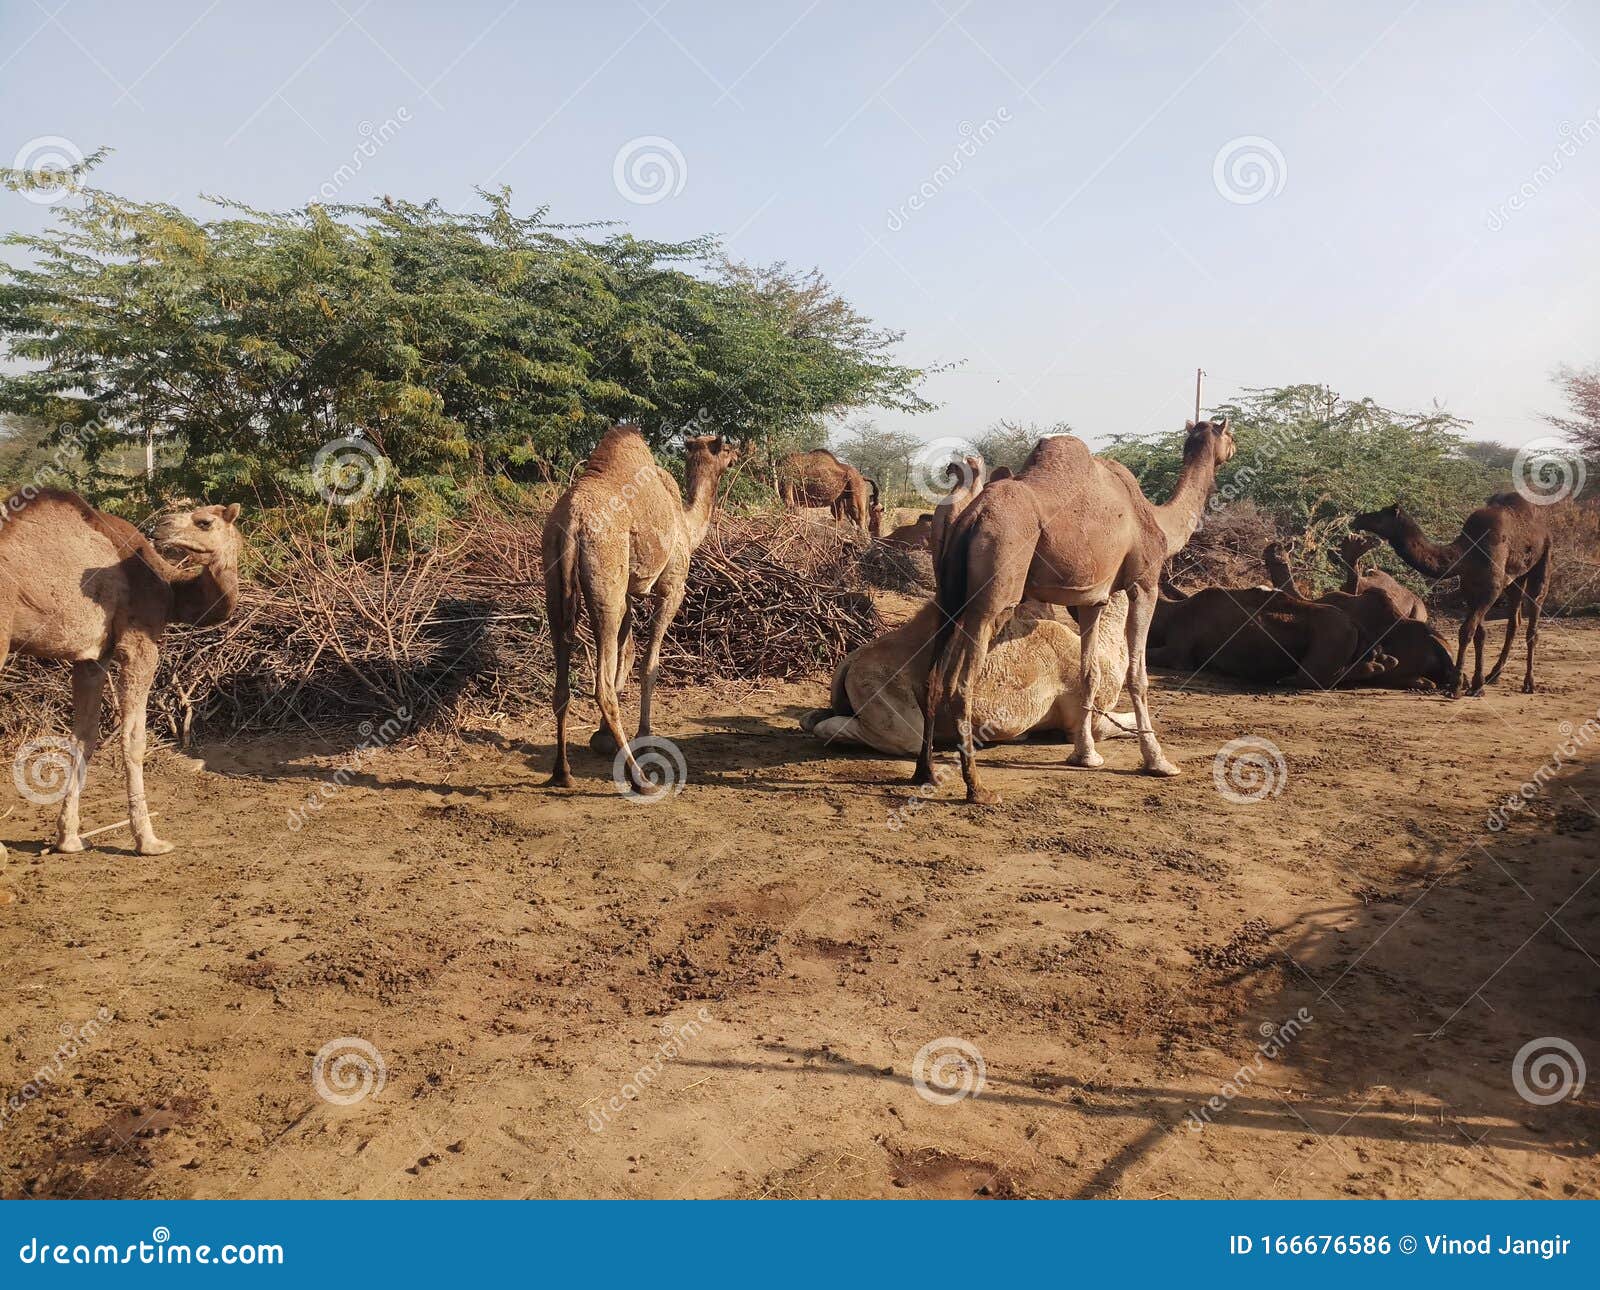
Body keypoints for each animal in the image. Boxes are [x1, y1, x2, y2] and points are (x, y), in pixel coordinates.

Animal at [0, 488, 243, 857]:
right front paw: (149, 841)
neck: (168, 587)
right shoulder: (138, 643)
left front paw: (69, 839)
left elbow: (83, 737)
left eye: (203, 520)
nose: (162, 525)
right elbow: (134, 738)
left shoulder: (92, 657)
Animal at [543, 426, 739, 791]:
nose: (740, 452)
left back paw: (562, 772)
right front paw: (644, 735)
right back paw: (640, 777)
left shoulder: (630, 592)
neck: (686, 523)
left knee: (563, 679)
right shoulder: (671, 585)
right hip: (606, 580)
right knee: (601, 686)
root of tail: (573, 521)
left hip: (555, 579)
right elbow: (650, 663)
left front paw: (602, 737)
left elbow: (627, 652)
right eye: (725, 447)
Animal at [919, 419, 1236, 803]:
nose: (1234, 448)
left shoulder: (1092, 600)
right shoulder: (1144, 584)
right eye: (1230, 435)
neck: (1158, 521)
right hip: (994, 592)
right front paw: (1158, 761)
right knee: (961, 686)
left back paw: (925, 772)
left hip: (948, 592)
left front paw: (1084, 755)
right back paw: (977, 788)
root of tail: (974, 516)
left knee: (932, 678)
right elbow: (1138, 676)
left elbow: (1089, 673)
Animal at [1353, 494, 1551, 695]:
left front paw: (1457, 686)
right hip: (1515, 578)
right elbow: (1480, 633)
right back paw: (1494, 675)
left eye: (1380, 515)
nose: (1357, 518)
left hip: (1544, 557)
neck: (1468, 553)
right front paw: (1477, 685)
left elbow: (1466, 630)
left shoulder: (1491, 590)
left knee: (1534, 615)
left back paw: (1529, 684)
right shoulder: (1470, 590)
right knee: (1514, 621)